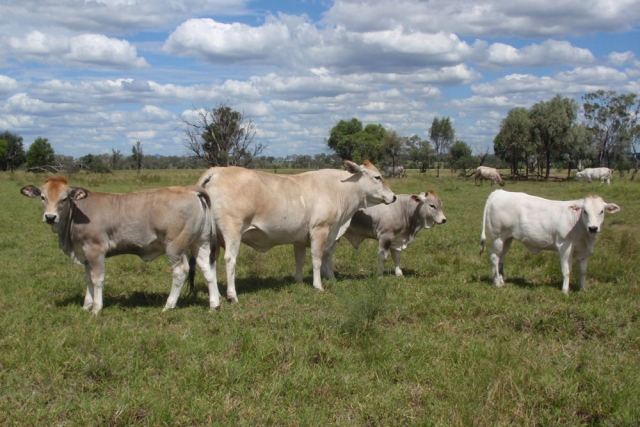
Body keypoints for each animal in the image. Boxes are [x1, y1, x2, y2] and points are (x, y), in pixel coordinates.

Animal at [21, 177, 219, 314]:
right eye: (42, 197)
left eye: (64, 198)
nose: (50, 216)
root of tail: (189, 189)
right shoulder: (85, 253)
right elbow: (88, 279)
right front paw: (86, 305)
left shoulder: (95, 250)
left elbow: (97, 279)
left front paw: (96, 308)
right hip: (200, 243)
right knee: (207, 269)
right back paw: (214, 304)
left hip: (174, 246)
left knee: (180, 271)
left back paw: (168, 305)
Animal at [194, 160, 396, 303]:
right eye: (377, 177)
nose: (394, 197)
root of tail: (218, 170)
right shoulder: (320, 230)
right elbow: (317, 259)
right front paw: (318, 286)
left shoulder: (301, 238)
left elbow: (301, 259)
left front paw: (301, 281)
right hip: (232, 232)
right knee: (230, 260)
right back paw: (232, 295)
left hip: (213, 237)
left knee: (212, 261)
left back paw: (217, 296)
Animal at [480, 190, 620, 294]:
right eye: (585, 211)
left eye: (601, 211)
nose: (593, 228)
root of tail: (499, 192)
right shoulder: (564, 246)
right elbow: (566, 270)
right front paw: (565, 291)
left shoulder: (583, 251)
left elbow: (583, 271)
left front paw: (583, 289)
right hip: (497, 237)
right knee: (494, 257)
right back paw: (497, 283)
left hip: (507, 239)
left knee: (501, 258)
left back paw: (502, 280)